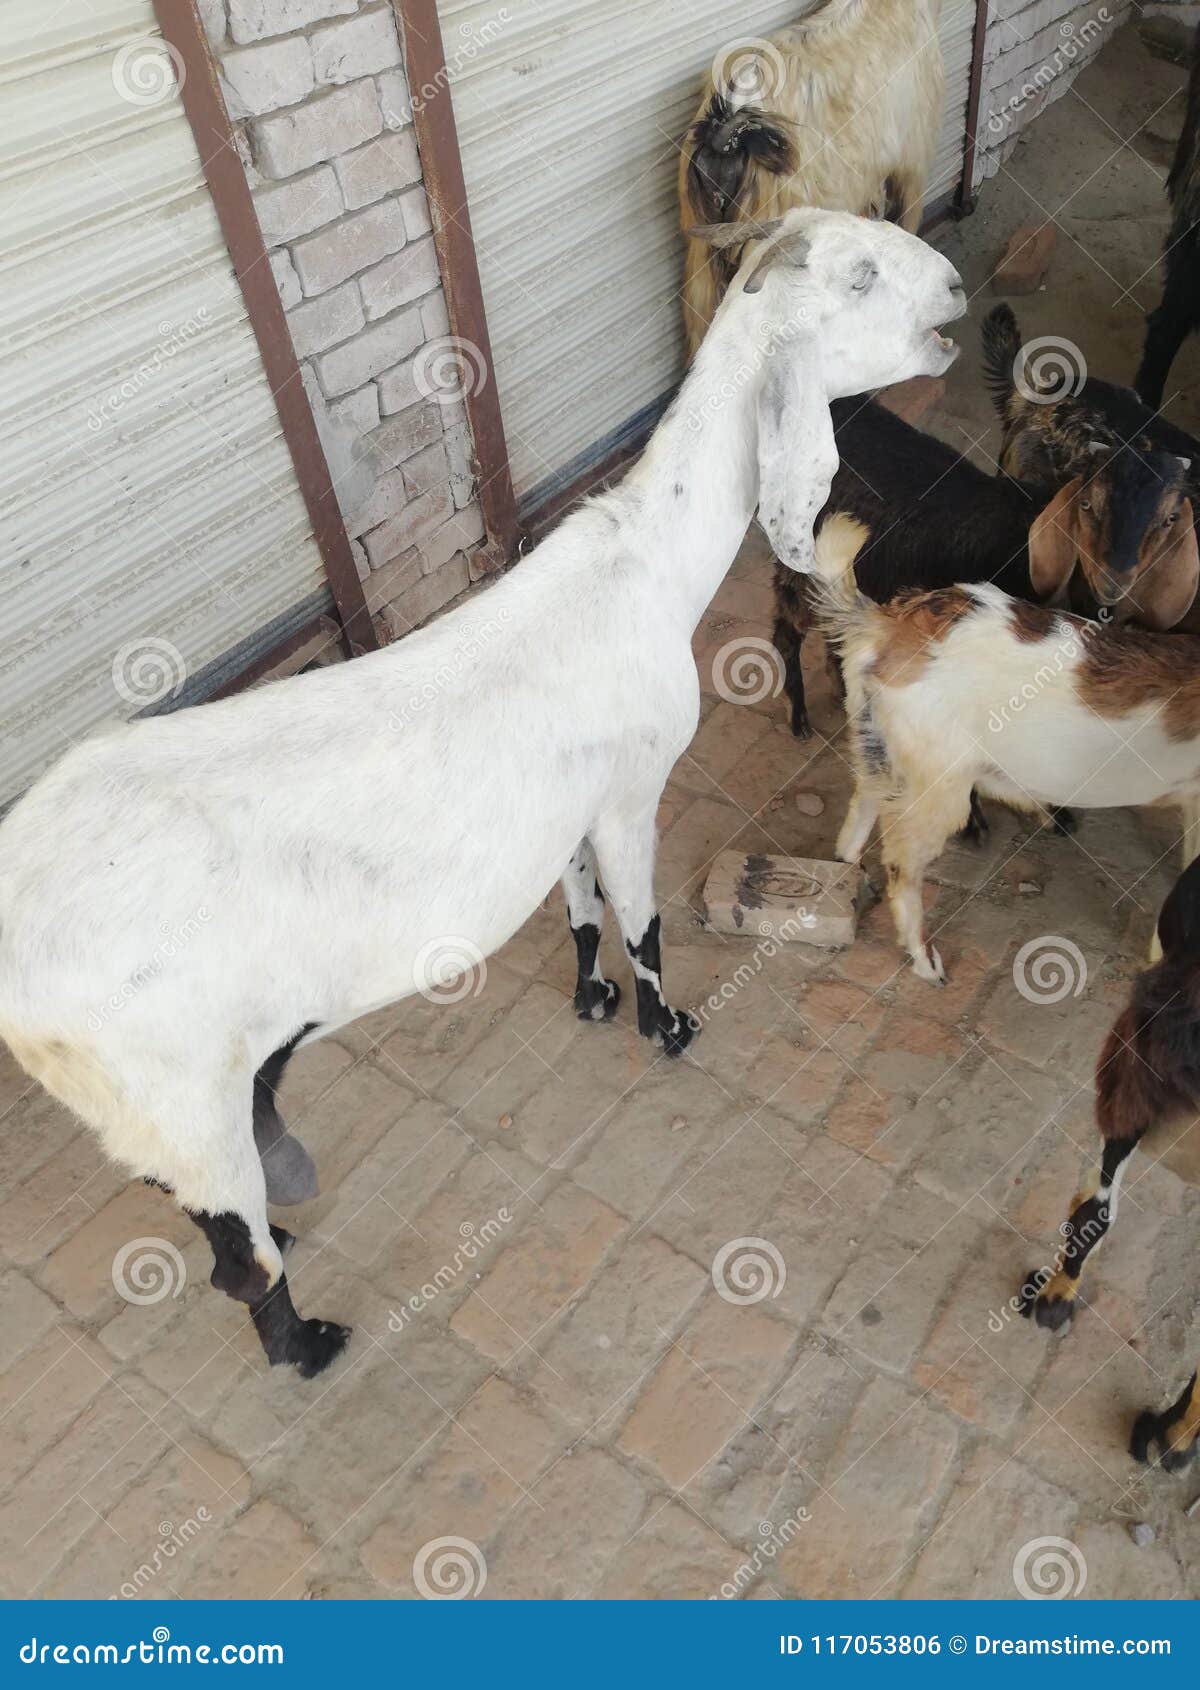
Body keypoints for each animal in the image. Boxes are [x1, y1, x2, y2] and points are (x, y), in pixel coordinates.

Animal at [0, 211, 965, 1376]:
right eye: (860, 274)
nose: (956, 290)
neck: (642, 569)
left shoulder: (567, 810)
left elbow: (582, 908)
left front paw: (592, 999)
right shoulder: (630, 791)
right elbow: (641, 920)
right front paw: (667, 1026)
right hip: (174, 1091)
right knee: (237, 1263)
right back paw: (307, 1344)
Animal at [815, 536, 1200, 983]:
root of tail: (890, 624)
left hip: (879, 750)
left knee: (859, 815)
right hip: (937, 788)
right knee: (901, 866)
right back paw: (926, 962)